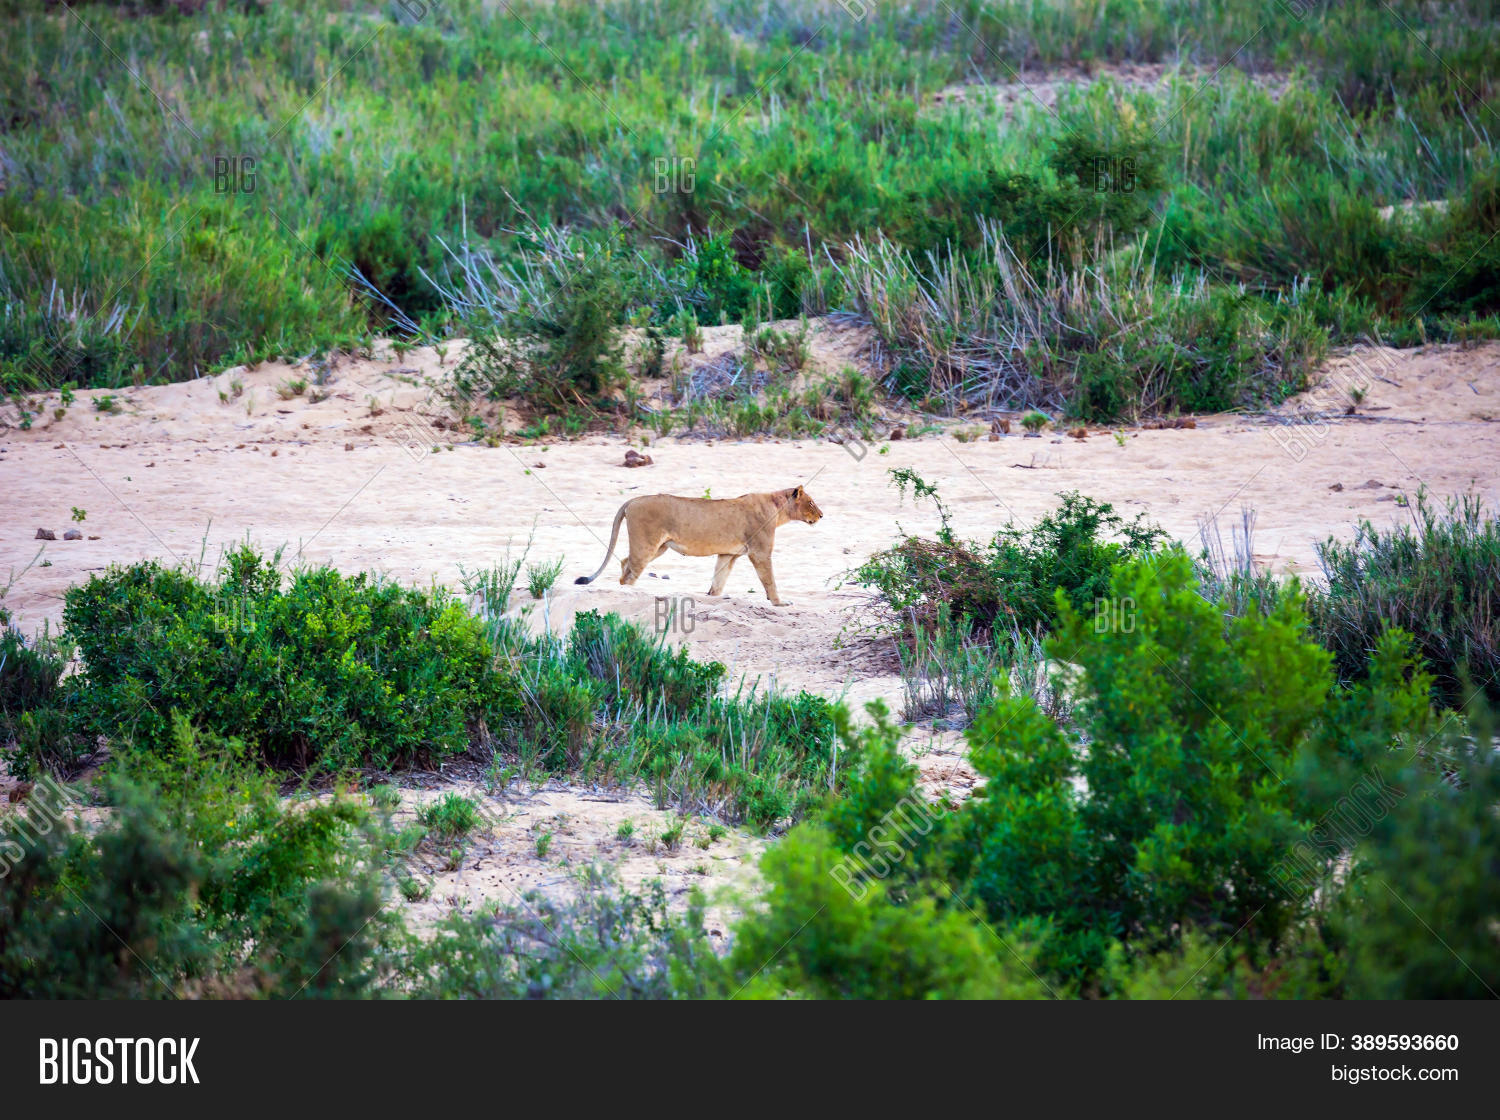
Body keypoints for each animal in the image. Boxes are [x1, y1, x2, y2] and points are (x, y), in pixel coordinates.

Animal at [573, 486, 823, 606]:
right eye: (811, 502)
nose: (822, 515)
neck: (778, 508)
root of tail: (632, 500)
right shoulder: (760, 552)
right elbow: (770, 580)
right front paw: (780, 602)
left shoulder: (727, 554)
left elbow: (718, 581)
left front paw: (713, 597)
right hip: (647, 544)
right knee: (629, 574)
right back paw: (629, 595)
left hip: (659, 547)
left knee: (625, 563)